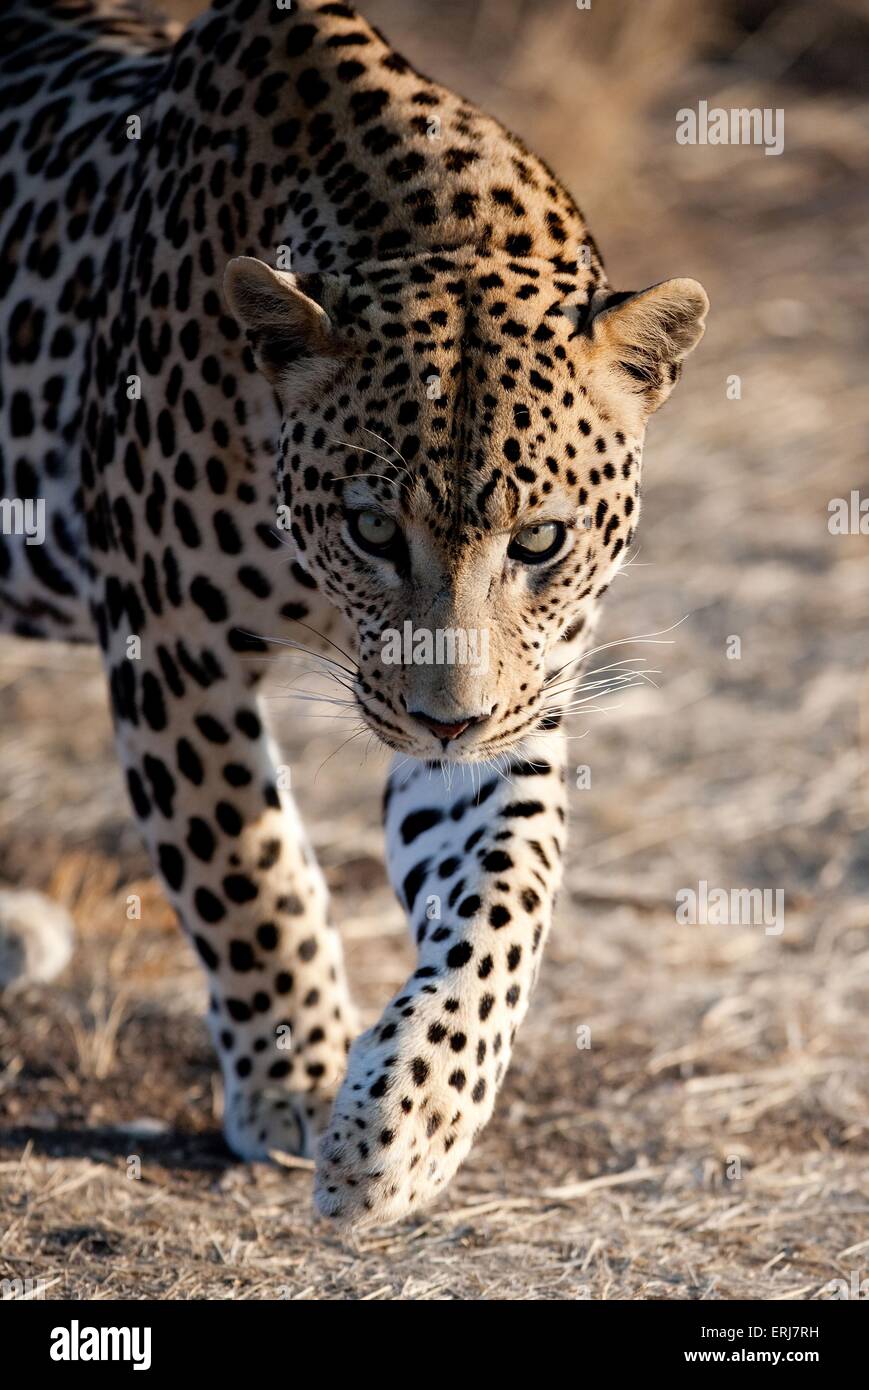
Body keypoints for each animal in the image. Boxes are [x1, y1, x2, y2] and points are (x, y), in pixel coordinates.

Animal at [0, 0, 708, 1227]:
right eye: (373, 527)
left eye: (539, 542)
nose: (444, 720)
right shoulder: (169, 643)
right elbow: (246, 863)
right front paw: (295, 1077)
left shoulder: (510, 711)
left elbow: (503, 898)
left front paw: (409, 1120)